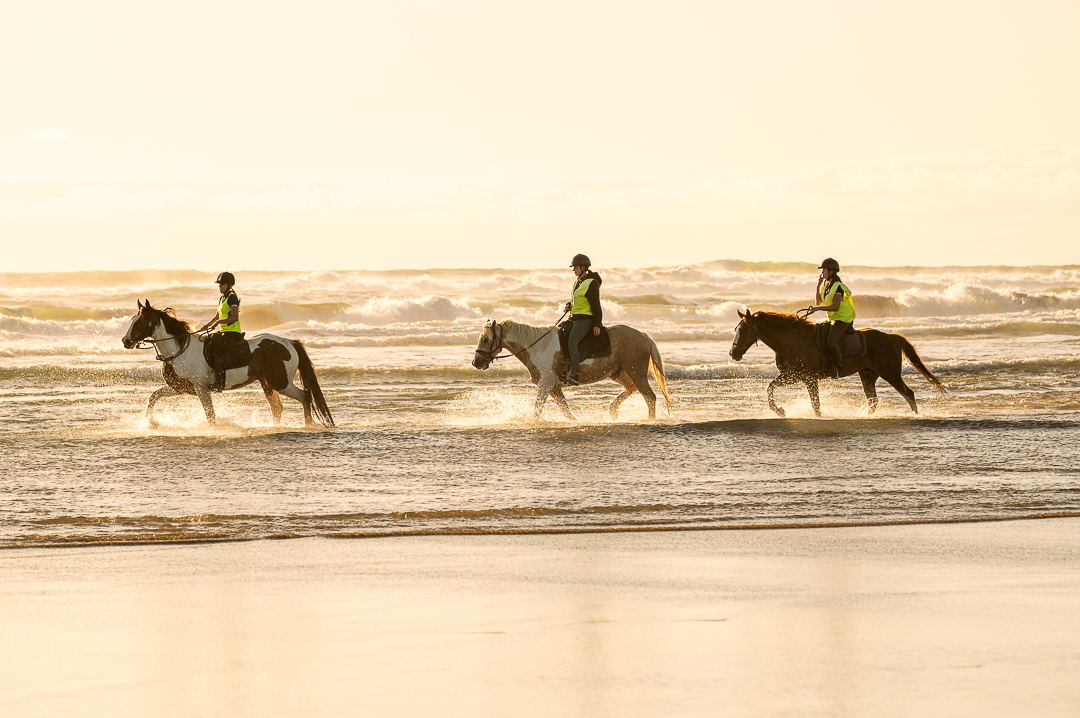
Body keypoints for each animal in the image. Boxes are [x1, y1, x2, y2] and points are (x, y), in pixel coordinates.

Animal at [121, 300, 334, 427]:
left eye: (139, 321)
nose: (125, 341)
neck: (180, 351)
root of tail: (289, 342)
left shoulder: (200, 388)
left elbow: (210, 414)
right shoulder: (181, 387)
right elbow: (153, 397)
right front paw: (148, 423)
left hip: (281, 383)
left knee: (305, 396)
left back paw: (307, 425)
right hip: (267, 383)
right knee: (277, 407)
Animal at [471, 319, 673, 420]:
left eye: (486, 339)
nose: (476, 362)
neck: (537, 347)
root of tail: (642, 335)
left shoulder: (546, 384)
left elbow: (537, 409)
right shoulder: (554, 387)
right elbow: (566, 411)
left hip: (635, 370)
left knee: (649, 396)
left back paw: (649, 420)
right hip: (618, 373)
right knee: (632, 388)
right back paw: (612, 410)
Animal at [728, 309, 947, 417]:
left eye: (744, 330)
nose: (733, 353)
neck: (790, 340)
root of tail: (891, 337)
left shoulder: (808, 378)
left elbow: (815, 404)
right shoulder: (792, 376)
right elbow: (770, 388)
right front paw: (780, 411)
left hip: (890, 373)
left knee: (908, 393)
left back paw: (916, 416)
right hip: (868, 375)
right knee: (873, 400)